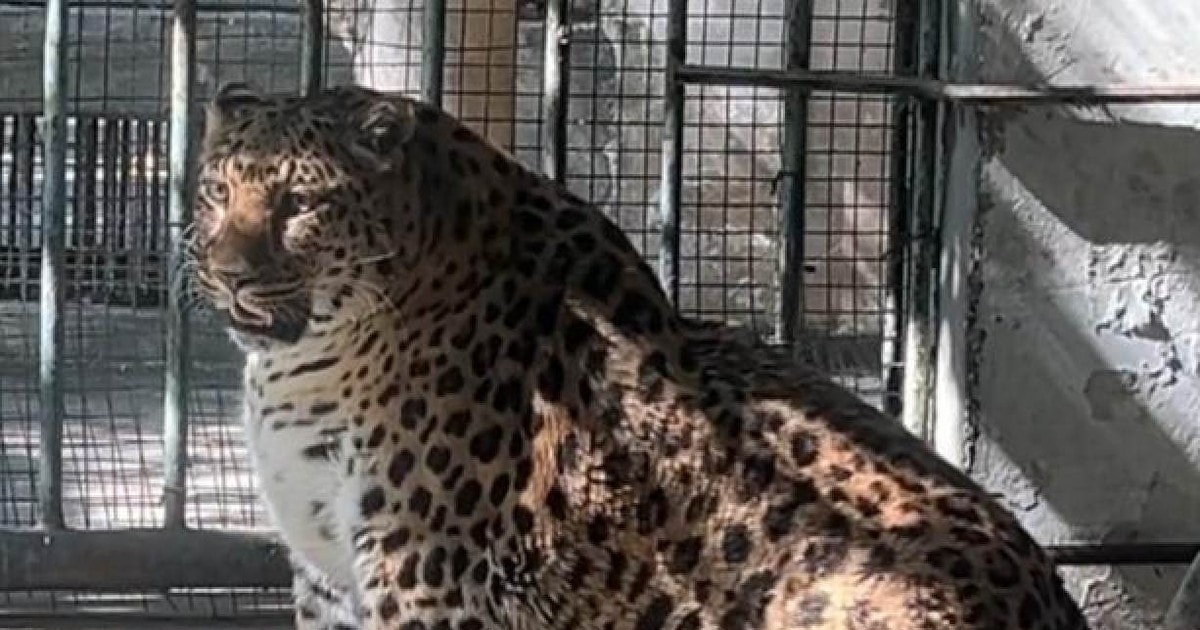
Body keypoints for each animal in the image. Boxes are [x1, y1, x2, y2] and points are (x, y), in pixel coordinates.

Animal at [187, 81, 1091, 630]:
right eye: (215, 192)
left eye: (300, 204)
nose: (226, 272)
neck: (308, 365)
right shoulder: (328, 578)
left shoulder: (427, 583)